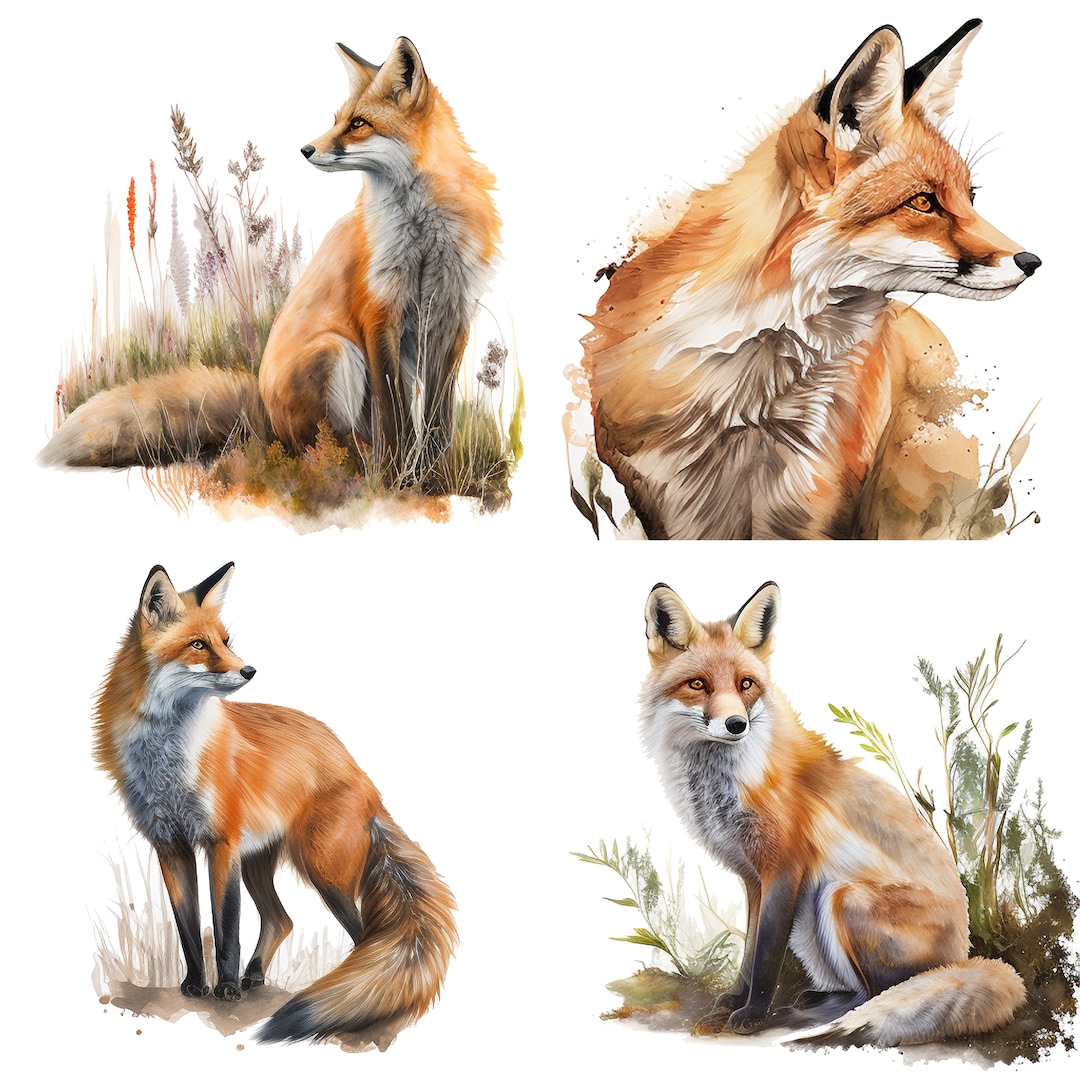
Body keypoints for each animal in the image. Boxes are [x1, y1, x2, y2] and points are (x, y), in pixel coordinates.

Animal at [40, 36, 500, 477]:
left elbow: (439, 417)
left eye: (358, 124)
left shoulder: (452, 319)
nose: (306, 149)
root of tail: (263, 418)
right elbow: (396, 417)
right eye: (337, 118)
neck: (422, 238)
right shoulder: (378, 313)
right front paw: (402, 473)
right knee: (323, 449)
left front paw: (435, 471)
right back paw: (363, 464)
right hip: (336, 351)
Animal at [93, 561, 457, 1046]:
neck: (167, 759)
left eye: (226, 641)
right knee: (282, 920)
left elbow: (226, 928)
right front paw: (194, 986)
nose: (249, 670)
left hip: (322, 870)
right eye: (198, 645)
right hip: (258, 864)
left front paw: (225, 989)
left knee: (362, 936)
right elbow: (189, 930)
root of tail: (363, 778)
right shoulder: (170, 846)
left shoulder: (221, 843)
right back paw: (259, 976)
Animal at [639, 580, 1026, 1046]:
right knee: (863, 990)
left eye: (746, 683)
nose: (736, 724)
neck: (726, 781)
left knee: (881, 991)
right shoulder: (753, 877)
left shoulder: (785, 867)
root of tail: (963, 954)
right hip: (813, 920)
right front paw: (732, 1002)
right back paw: (817, 1000)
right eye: (698, 684)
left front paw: (752, 1015)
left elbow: (765, 955)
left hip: (840, 896)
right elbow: (749, 950)